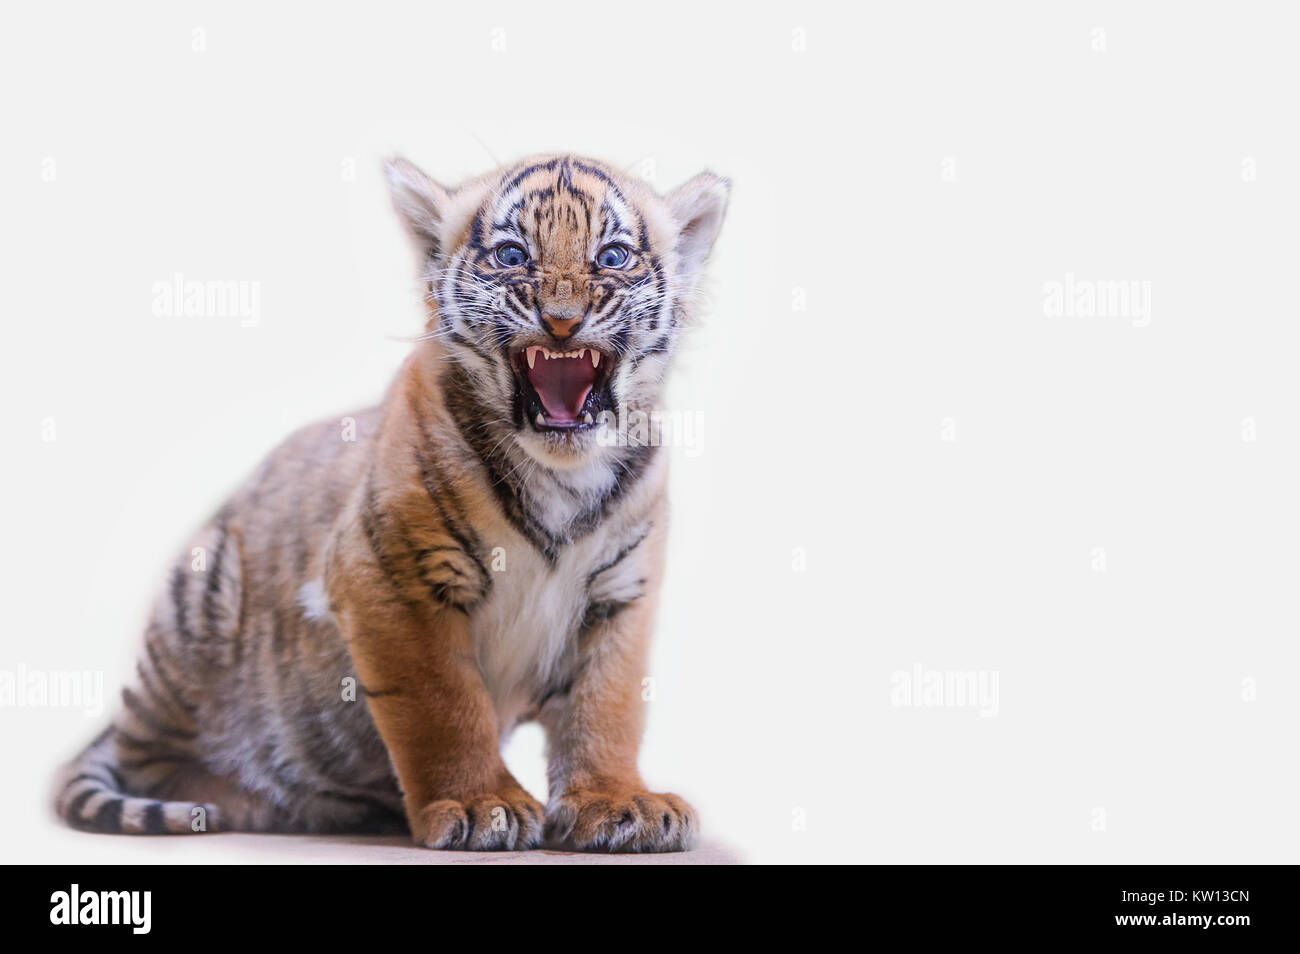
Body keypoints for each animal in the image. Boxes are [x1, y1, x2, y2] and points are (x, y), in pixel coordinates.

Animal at [53, 153, 729, 852]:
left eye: (612, 256)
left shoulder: (621, 593)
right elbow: (444, 703)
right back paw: (240, 799)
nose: (562, 319)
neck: (561, 475)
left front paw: (620, 803)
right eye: (512, 255)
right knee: (155, 764)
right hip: (194, 600)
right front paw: (482, 805)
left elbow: (607, 705)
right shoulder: (391, 576)